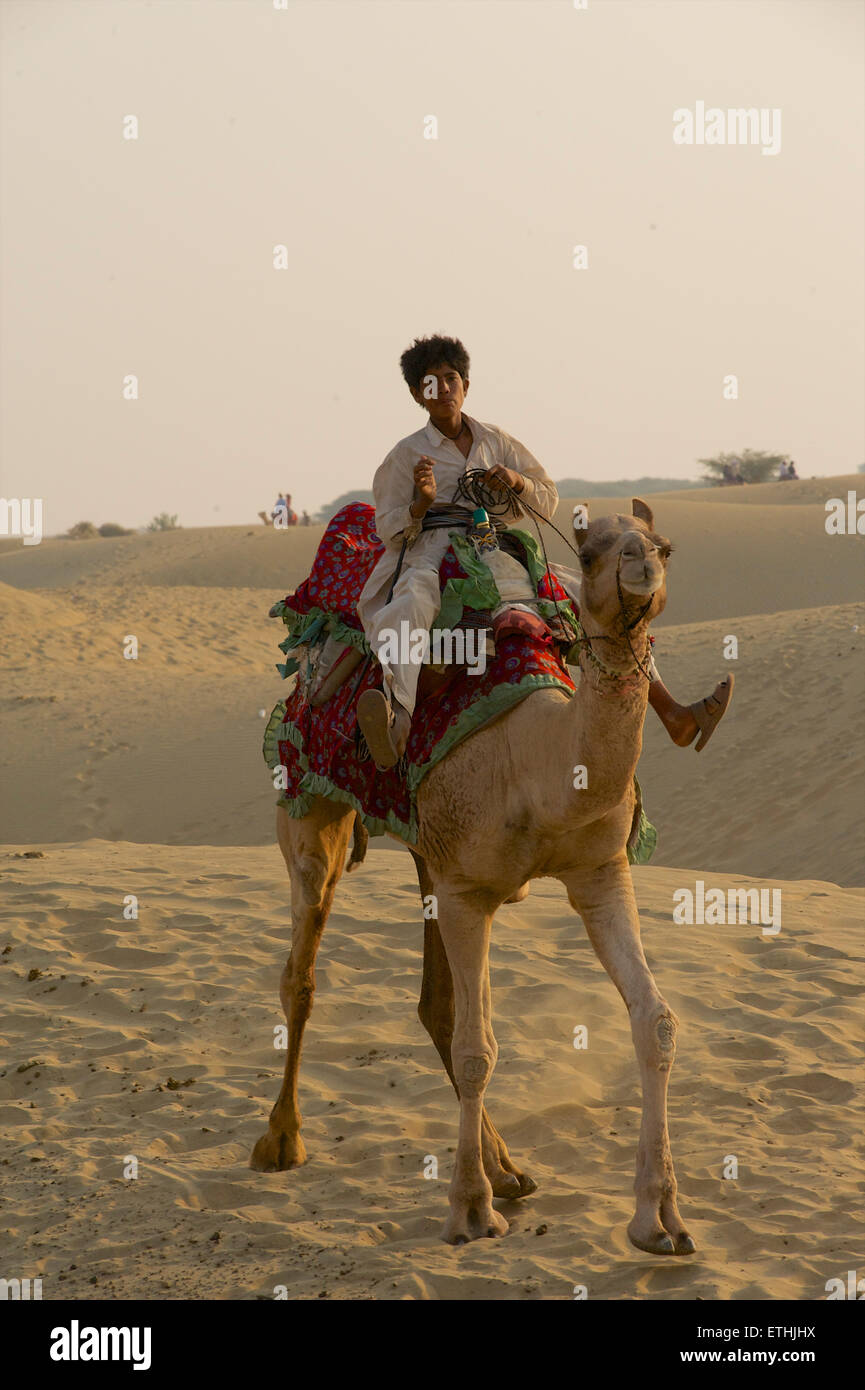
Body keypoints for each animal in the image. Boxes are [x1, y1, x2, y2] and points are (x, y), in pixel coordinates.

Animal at [250, 497, 695, 1255]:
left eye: (662, 545)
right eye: (590, 553)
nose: (641, 565)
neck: (541, 763)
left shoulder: (598, 873)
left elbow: (653, 1023)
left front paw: (658, 1217)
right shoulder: (466, 893)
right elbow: (475, 1049)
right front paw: (467, 1209)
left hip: (428, 853)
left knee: (433, 1001)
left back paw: (509, 1168)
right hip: (310, 805)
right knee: (300, 973)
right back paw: (282, 1139)